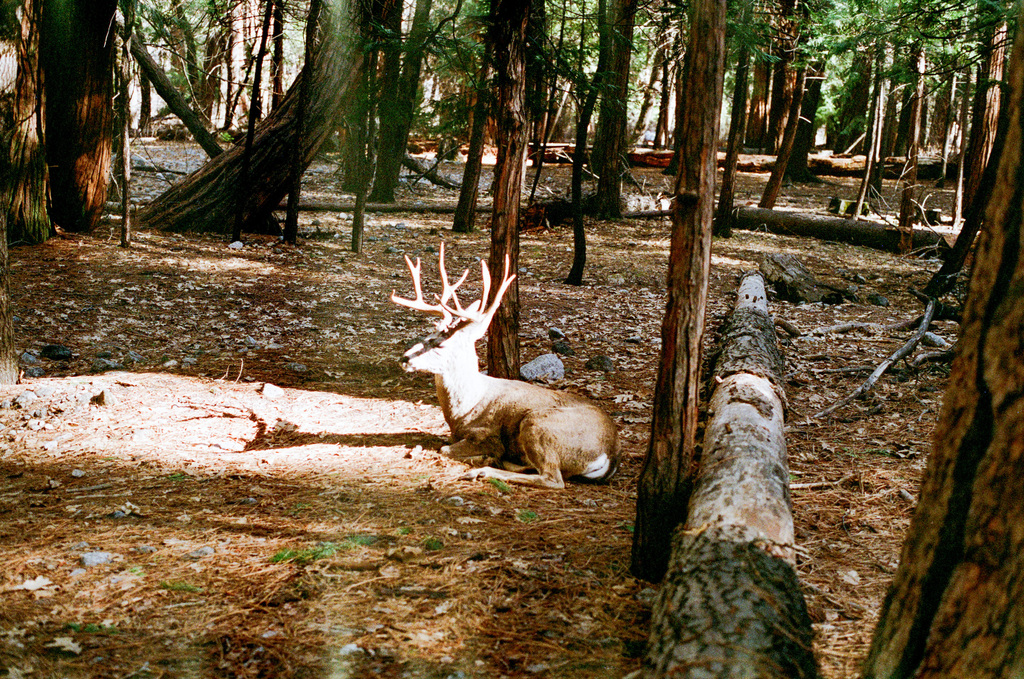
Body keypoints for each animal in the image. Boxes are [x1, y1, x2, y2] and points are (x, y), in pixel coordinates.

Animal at [391, 244, 620, 489]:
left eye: (441, 344)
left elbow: (444, 449)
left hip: (538, 424)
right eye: (427, 335)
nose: (404, 358)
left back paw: (482, 469)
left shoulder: (485, 434)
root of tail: (612, 453)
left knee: (552, 478)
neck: (464, 408)